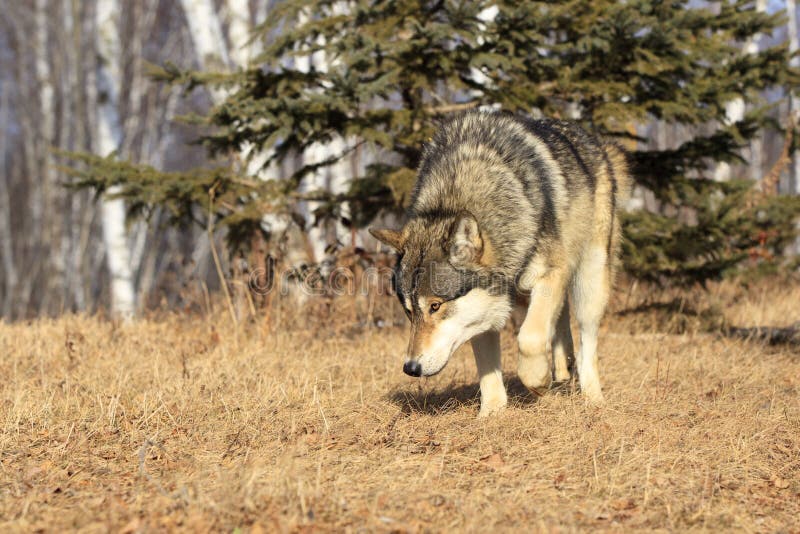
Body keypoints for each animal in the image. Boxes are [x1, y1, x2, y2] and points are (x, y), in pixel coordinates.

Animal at [370, 110, 631, 416]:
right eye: (409, 311)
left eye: (435, 306)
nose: (410, 368)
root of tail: (598, 144)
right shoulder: (481, 313)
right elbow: (488, 374)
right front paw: (491, 415)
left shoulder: (550, 275)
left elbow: (529, 338)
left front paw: (537, 380)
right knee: (560, 322)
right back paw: (562, 366)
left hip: (589, 282)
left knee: (586, 343)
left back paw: (592, 397)